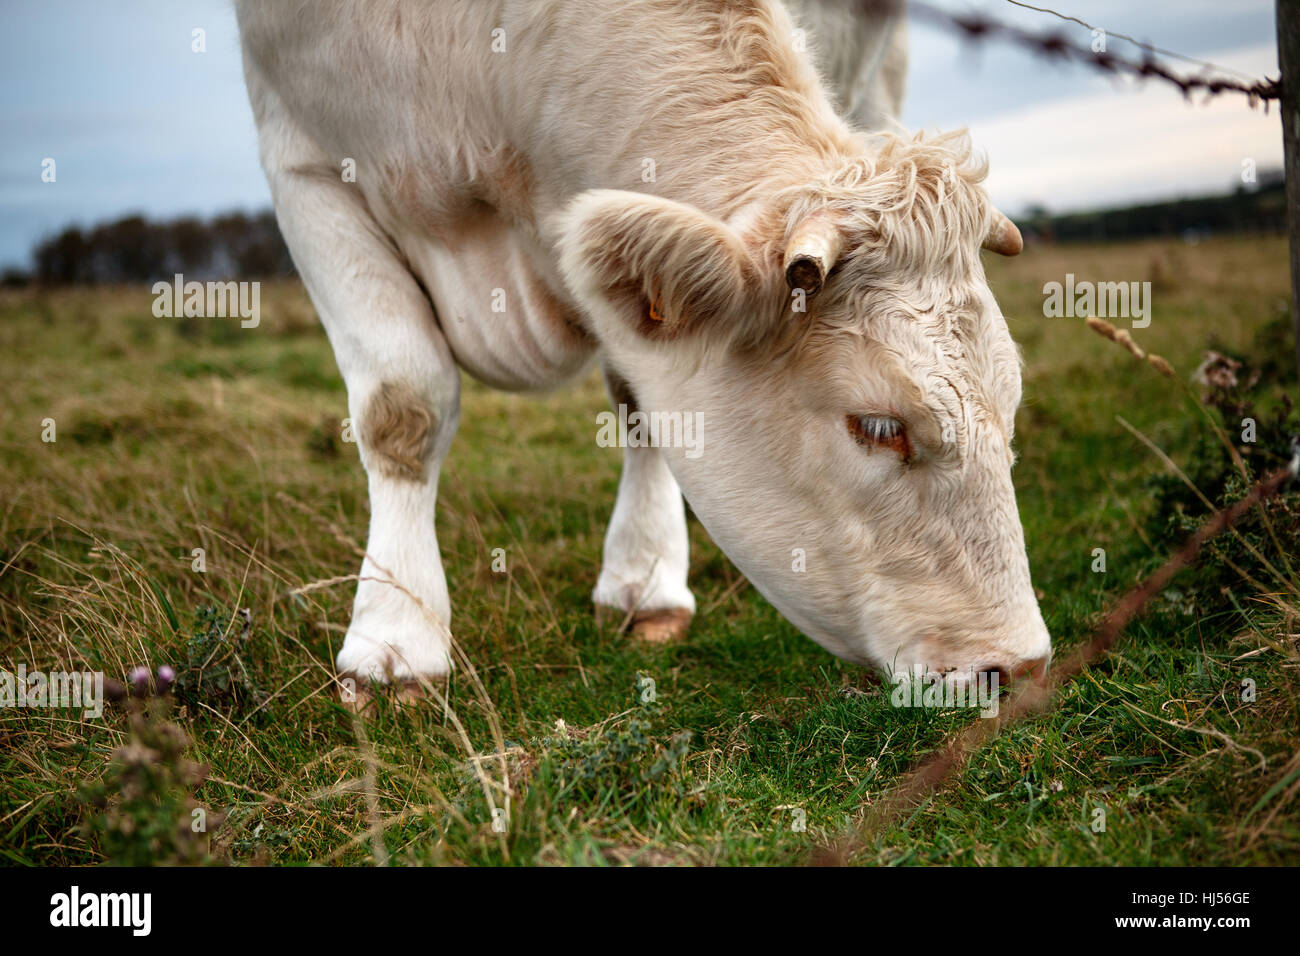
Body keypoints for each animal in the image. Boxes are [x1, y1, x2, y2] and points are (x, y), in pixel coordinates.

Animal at [233, 0, 1051, 704]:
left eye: (1010, 407)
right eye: (879, 425)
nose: (1020, 667)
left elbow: (644, 401)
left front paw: (645, 580)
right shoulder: (301, 162)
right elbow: (403, 407)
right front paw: (395, 637)